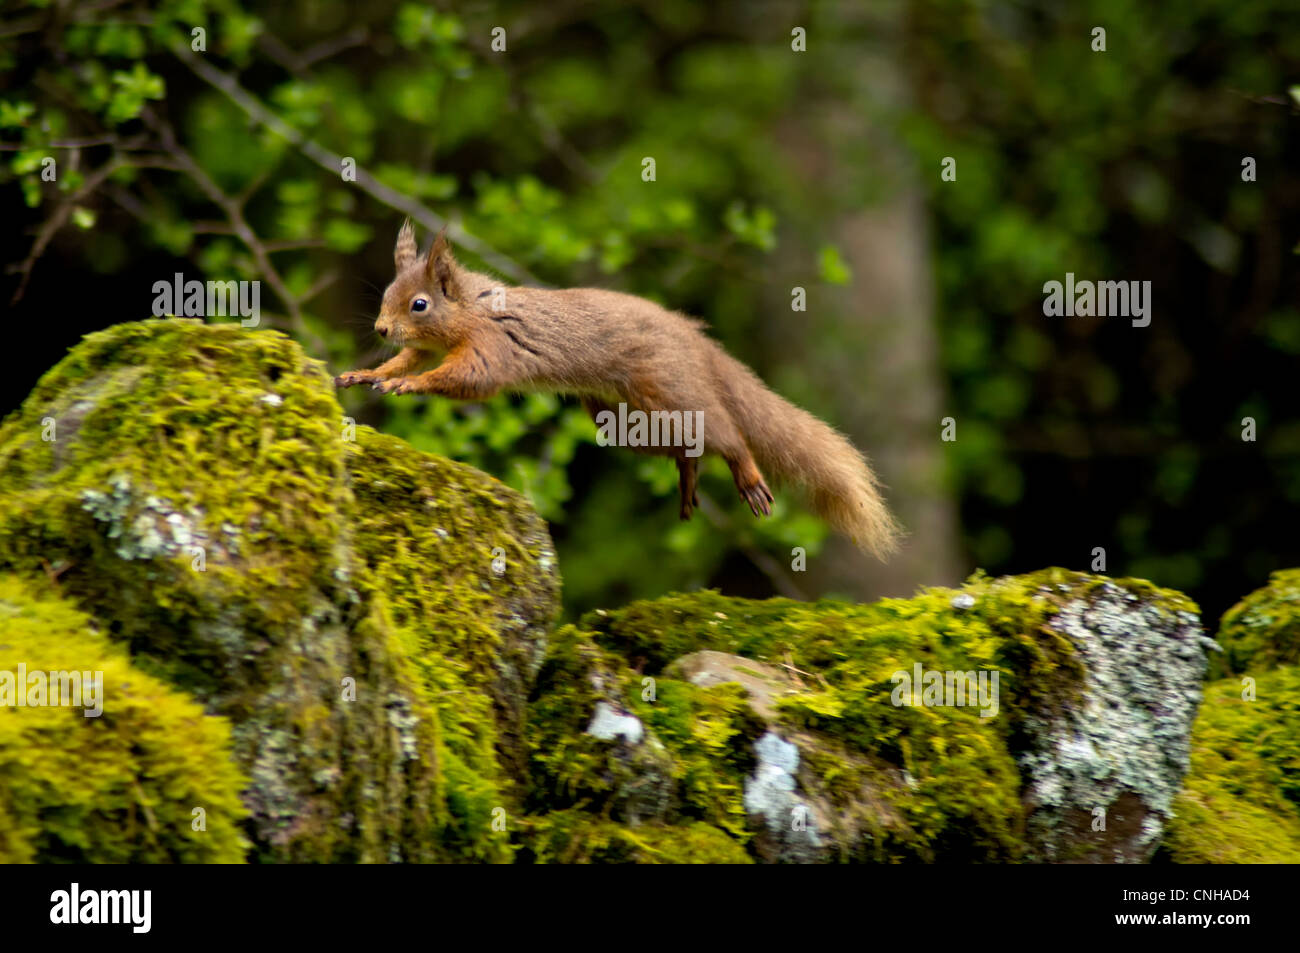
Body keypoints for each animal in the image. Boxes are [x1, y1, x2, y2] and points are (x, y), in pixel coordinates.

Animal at [335, 221, 901, 558]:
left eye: (420, 304)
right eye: (387, 295)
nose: (380, 330)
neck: (473, 308)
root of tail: (693, 339)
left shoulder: (490, 348)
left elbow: (465, 377)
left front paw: (407, 383)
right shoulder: (433, 346)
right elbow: (411, 358)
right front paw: (368, 375)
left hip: (671, 391)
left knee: (728, 433)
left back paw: (746, 474)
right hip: (630, 422)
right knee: (689, 446)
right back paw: (687, 478)